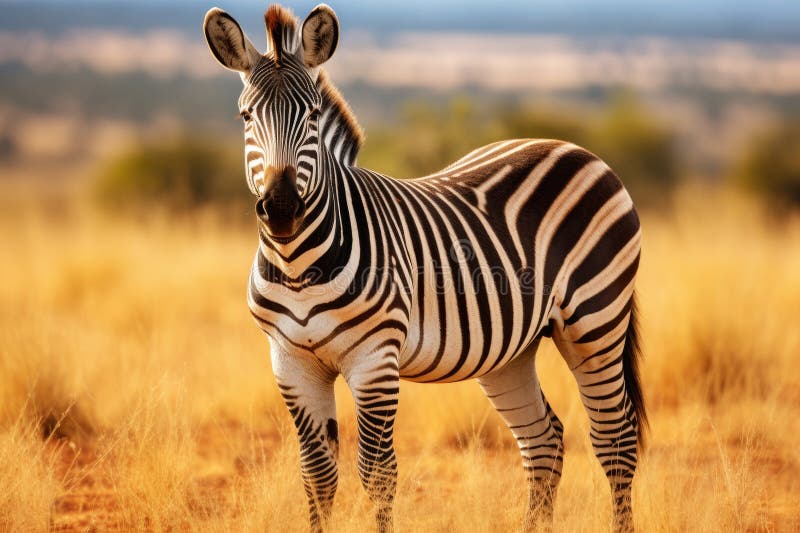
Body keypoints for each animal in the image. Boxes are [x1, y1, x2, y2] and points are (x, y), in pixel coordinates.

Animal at [203, 4, 647, 532]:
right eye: (245, 116)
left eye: (311, 115)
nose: (282, 208)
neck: (298, 268)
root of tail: (575, 148)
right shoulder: (291, 362)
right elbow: (317, 475)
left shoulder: (375, 359)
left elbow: (377, 473)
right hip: (511, 351)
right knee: (543, 440)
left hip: (596, 321)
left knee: (615, 441)